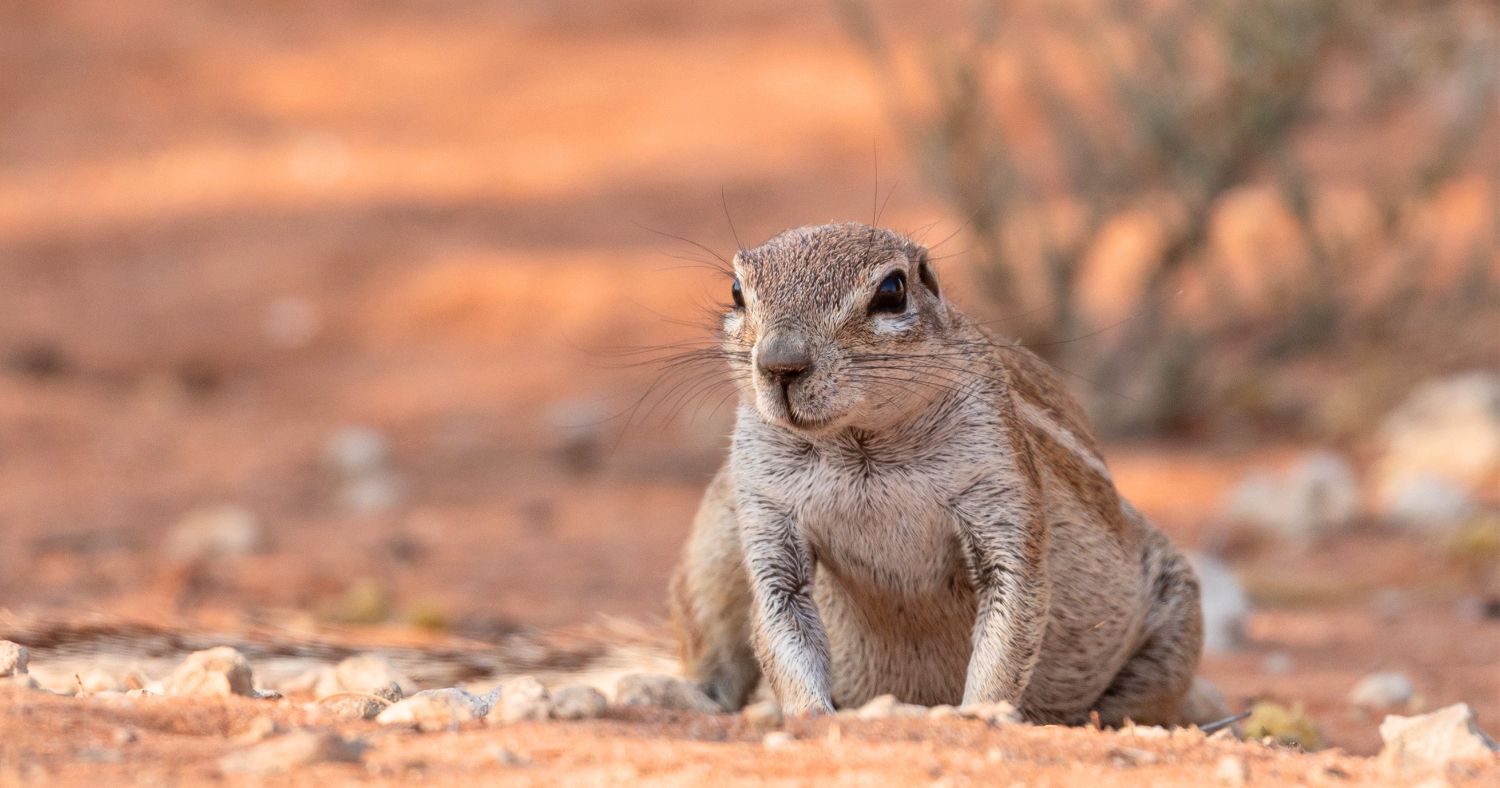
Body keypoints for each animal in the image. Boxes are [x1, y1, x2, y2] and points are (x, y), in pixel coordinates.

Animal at [668, 222, 1204, 725]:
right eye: (736, 291)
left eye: (891, 291)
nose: (781, 363)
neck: (860, 445)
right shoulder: (766, 505)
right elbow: (781, 613)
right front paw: (809, 712)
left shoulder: (997, 482)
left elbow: (1012, 613)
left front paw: (981, 711)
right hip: (714, 543)